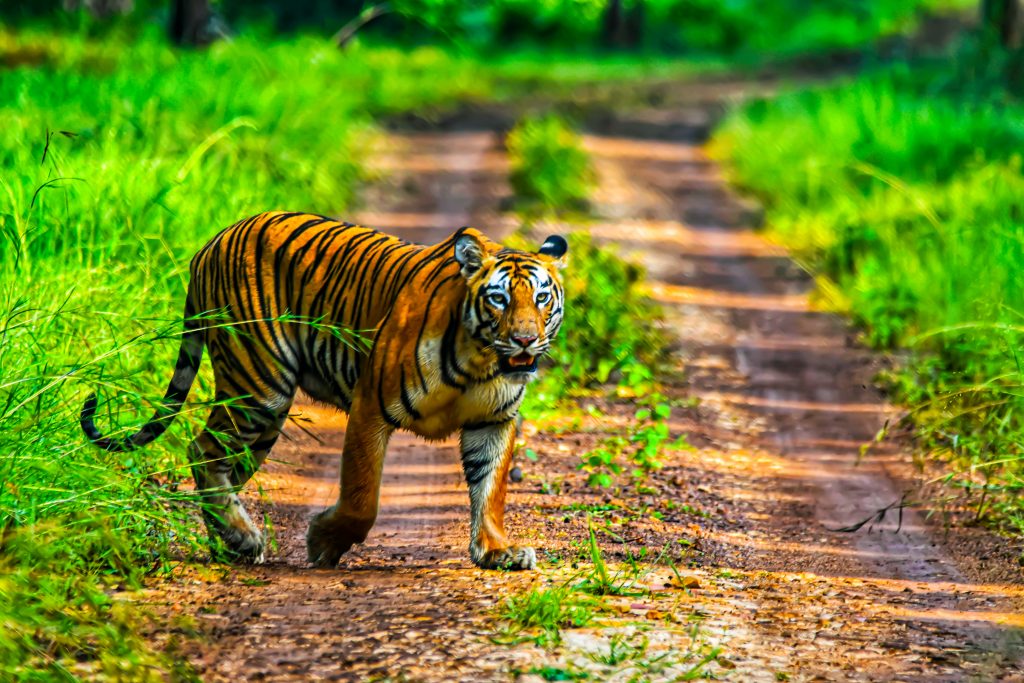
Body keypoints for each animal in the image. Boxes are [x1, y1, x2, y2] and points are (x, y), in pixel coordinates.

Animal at [80, 211, 568, 571]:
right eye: (499, 299)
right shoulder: (371, 407)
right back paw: (242, 538)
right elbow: (362, 497)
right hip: (258, 386)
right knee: (202, 450)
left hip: (264, 417)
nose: (525, 340)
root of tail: (211, 242)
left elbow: (490, 489)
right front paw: (323, 543)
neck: (480, 360)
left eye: (541, 298)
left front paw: (496, 551)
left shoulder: (493, 421)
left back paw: (231, 543)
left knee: (220, 467)